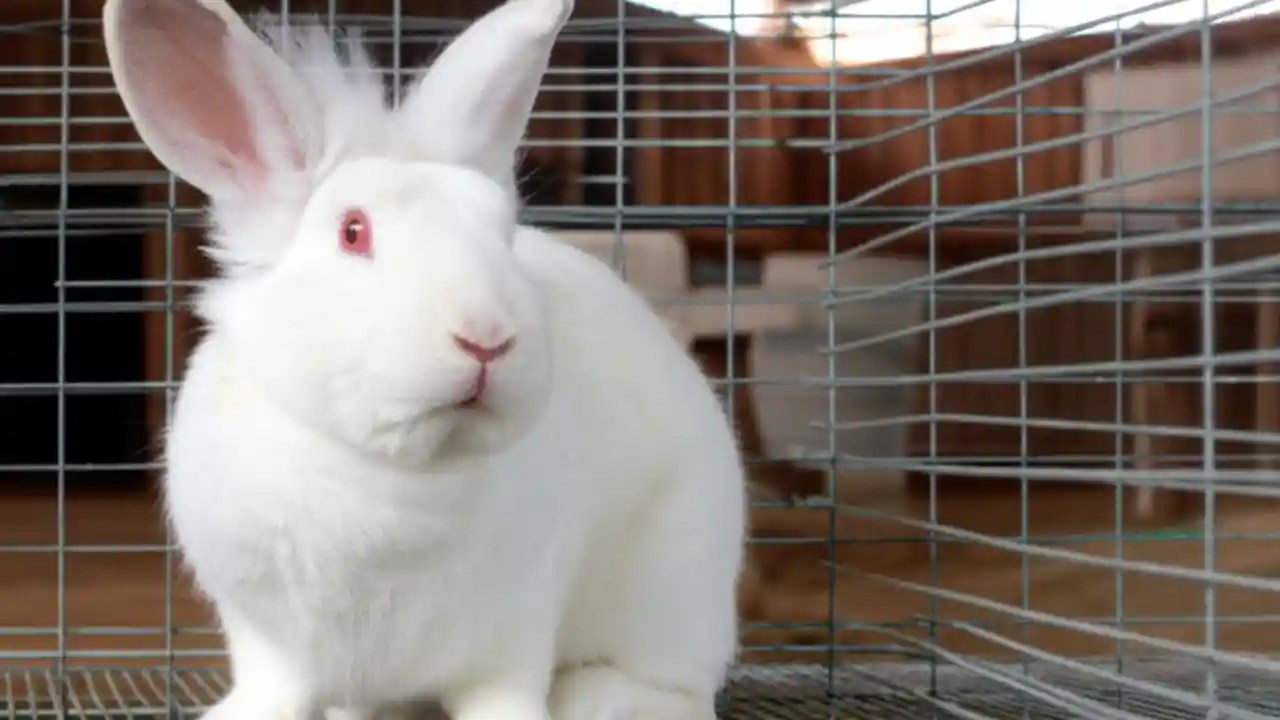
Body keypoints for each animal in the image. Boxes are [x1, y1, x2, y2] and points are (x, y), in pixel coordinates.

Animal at [101, 0, 747, 719]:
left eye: (502, 233)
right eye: (353, 231)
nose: (486, 336)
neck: (388, 473)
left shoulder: (514, 628)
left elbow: (506, 695)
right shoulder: (266, 635)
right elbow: (272, 689)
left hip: (677, 588)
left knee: (682, 688)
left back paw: (599, 696)